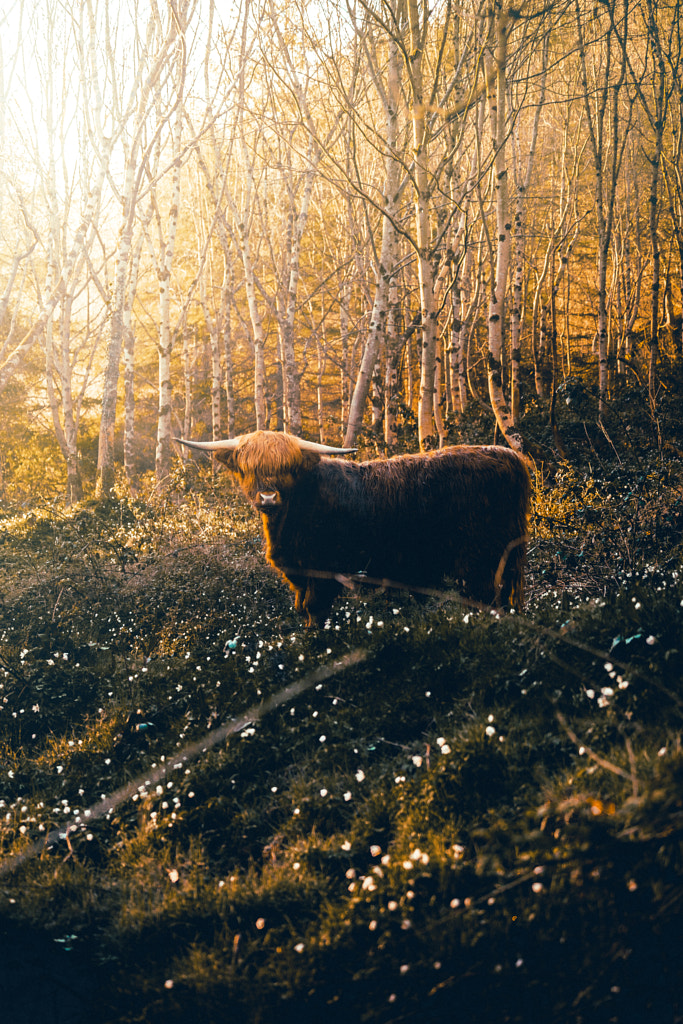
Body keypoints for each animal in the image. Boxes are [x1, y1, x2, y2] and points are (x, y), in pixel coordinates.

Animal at [175, 431, 531, 626]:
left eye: (287, 467)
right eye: (249, 468)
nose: (267, 497)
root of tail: (507, 456)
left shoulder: (323, 571)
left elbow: (315, 611)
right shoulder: (300, 575)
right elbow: (303, 608)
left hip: (481, 560)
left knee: (488, 600)